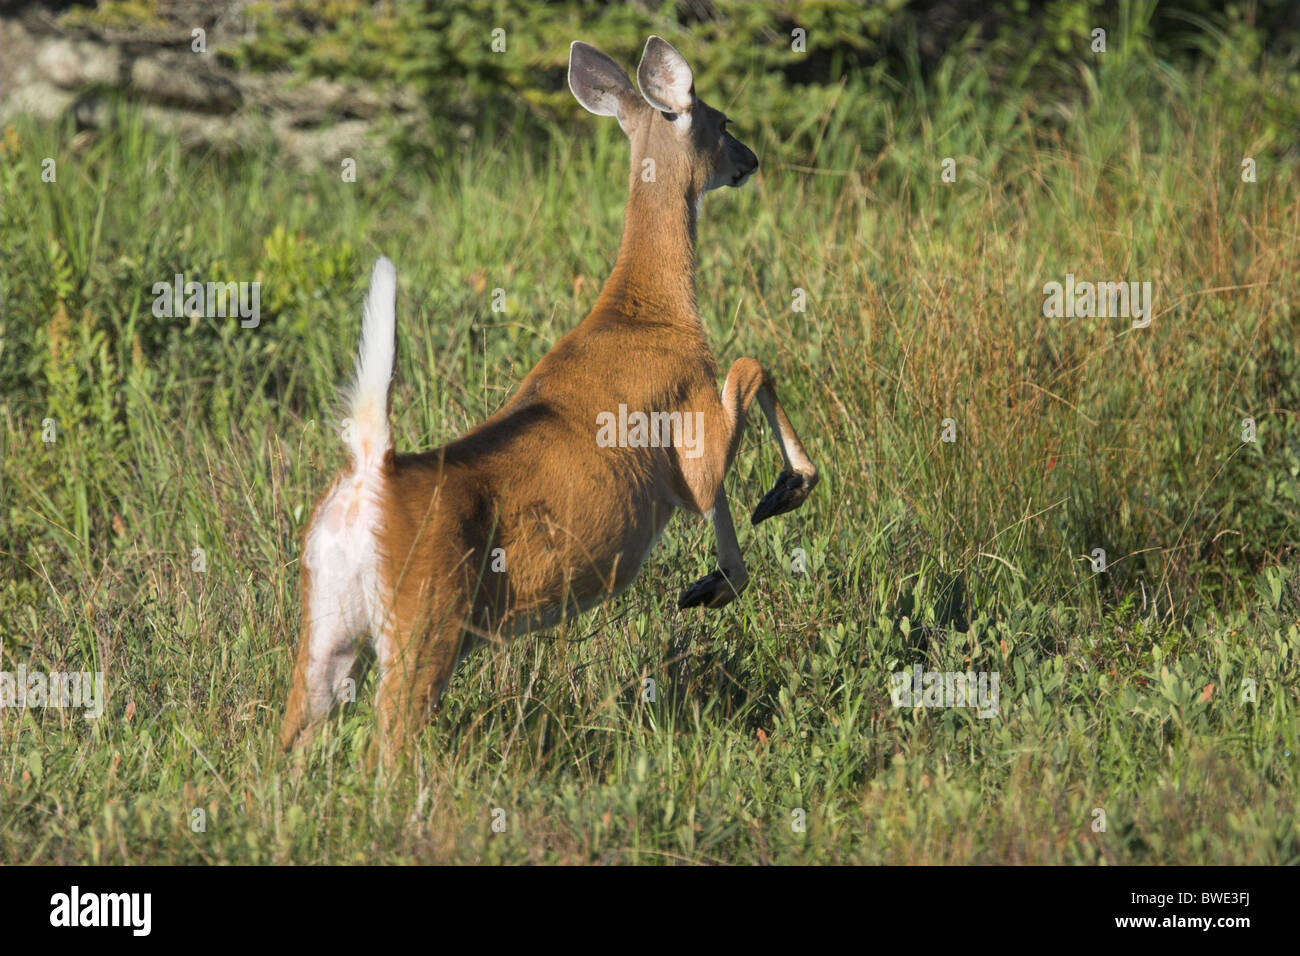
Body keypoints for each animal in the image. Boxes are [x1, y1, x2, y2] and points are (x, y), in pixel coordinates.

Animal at [278, 36, 819, 762]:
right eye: (722, 119)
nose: (751, 160)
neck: (651, 308)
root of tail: (372, 473)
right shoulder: (689, 433)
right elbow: (753, 372)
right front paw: (776, 504)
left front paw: (723, 572)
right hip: (426, 615)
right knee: (388, 741)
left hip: (327, 620)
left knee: (291, 733)